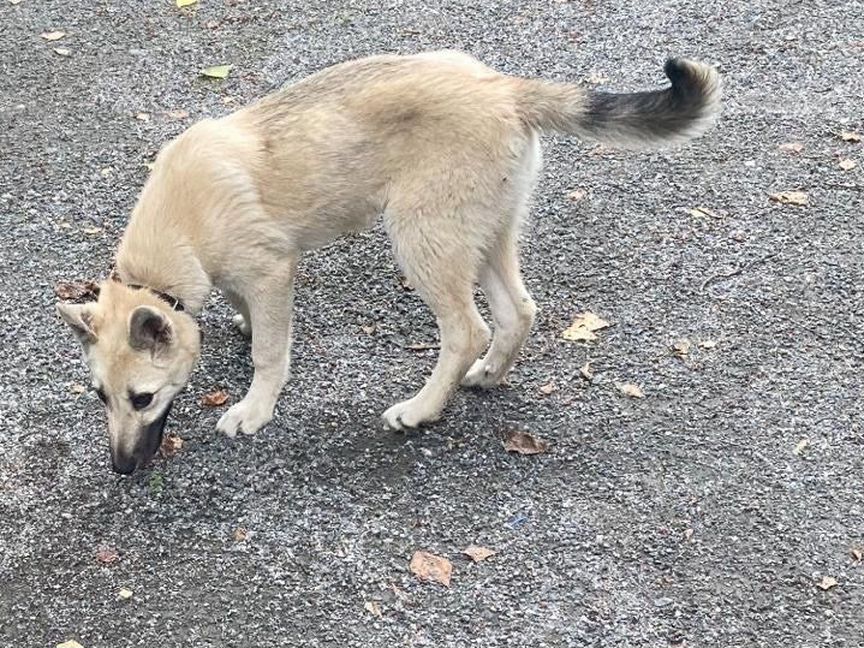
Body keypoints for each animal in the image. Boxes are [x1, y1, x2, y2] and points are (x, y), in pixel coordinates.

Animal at [57, 50, 720, 474]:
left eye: (143, 398)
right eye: (99, 397)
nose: (120, 469)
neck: (178, 235)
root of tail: (502, 86)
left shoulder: (273, 271)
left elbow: (271, 353)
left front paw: (255, 408)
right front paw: (241, 326)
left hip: (421, 239)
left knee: (467, 329)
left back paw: (423, 409)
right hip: (481, 235)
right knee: (518, 312)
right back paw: (488, 374)